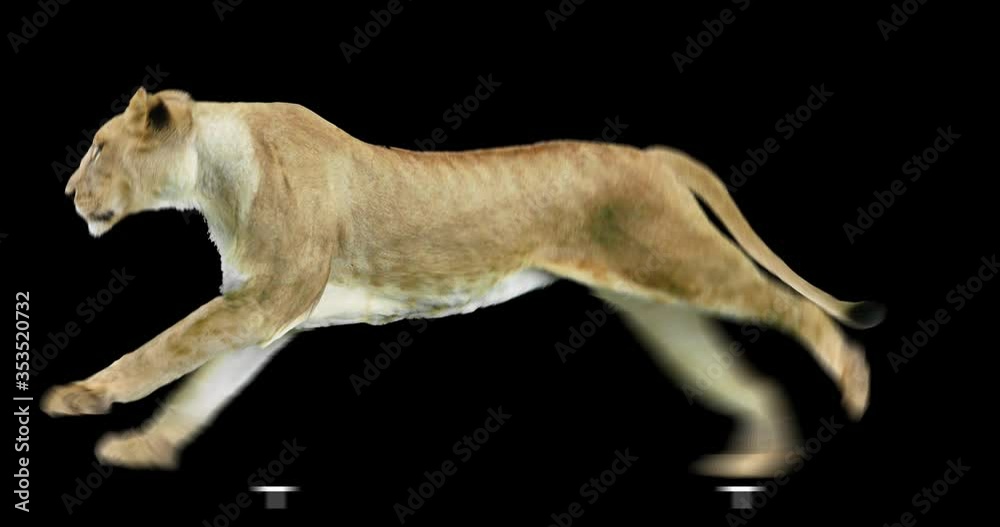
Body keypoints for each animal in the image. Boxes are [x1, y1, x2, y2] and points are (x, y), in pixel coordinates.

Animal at [43, 88, 883, 477]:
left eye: (100, 145)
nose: (68, 193)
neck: (211, 178)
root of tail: (648, 155)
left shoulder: (264, 299)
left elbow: (161, 350)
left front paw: (81, 394)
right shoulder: (268, 312)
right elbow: (200, 388)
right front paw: (148, 447)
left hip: (678, 257)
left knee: (789, 307)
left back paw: (852, 378)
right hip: (658, 306)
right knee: (738, 377)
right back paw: (756, 462)